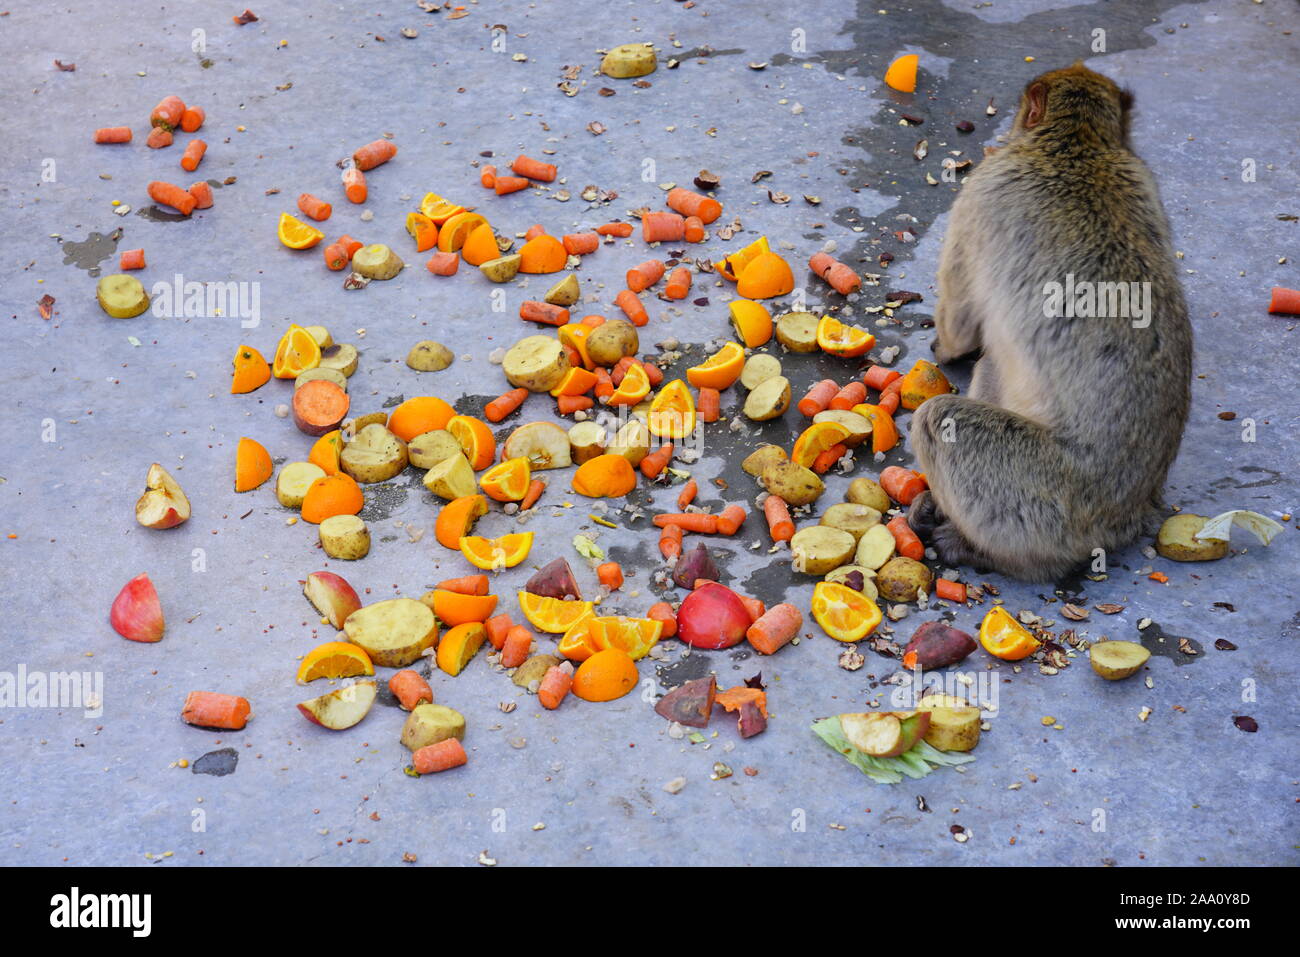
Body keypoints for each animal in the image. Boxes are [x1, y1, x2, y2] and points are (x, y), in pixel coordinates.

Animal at [908, 63, 1192, 581]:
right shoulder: (1145, 181)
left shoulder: (980, 190)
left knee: (944, 416)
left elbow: (962, 324)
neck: (1077, 142)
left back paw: (979, 548)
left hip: (1045, 499)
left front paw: (945, 345)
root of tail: (1133, 512)